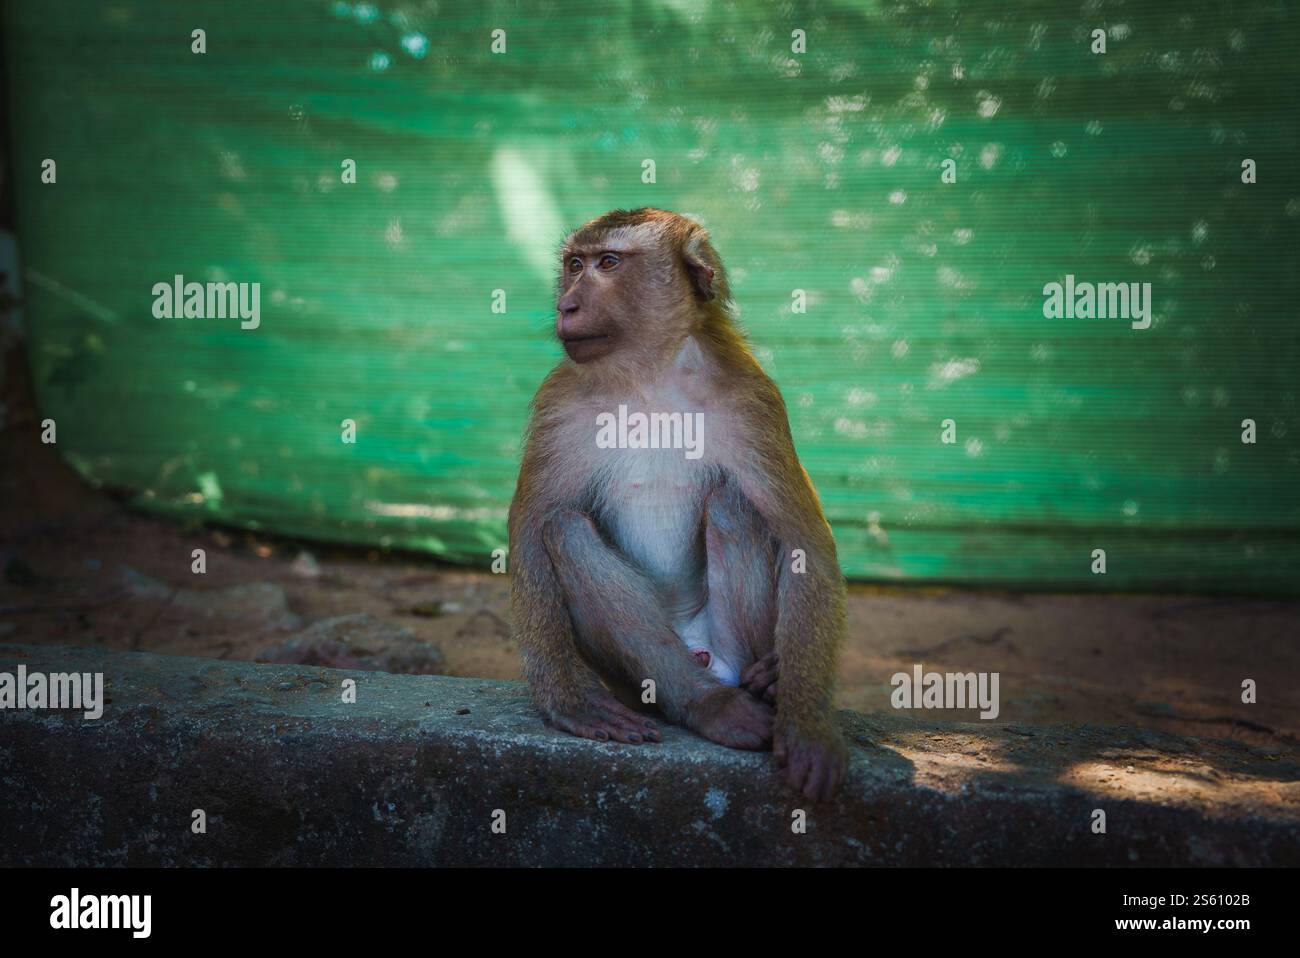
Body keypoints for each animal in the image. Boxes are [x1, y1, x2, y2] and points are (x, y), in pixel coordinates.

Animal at [508, 208, 848, 801]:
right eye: (574, 265)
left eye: (608, 263)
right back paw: (711, 706)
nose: (567, 305)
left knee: (735, 502)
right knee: (564, 529)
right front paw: (571, 701)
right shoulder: (559, 404)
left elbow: (805, 541)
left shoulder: (752, 400)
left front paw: (808, 724)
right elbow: (530, 531)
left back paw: (761, 682)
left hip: (731, 643)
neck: (648, 378)